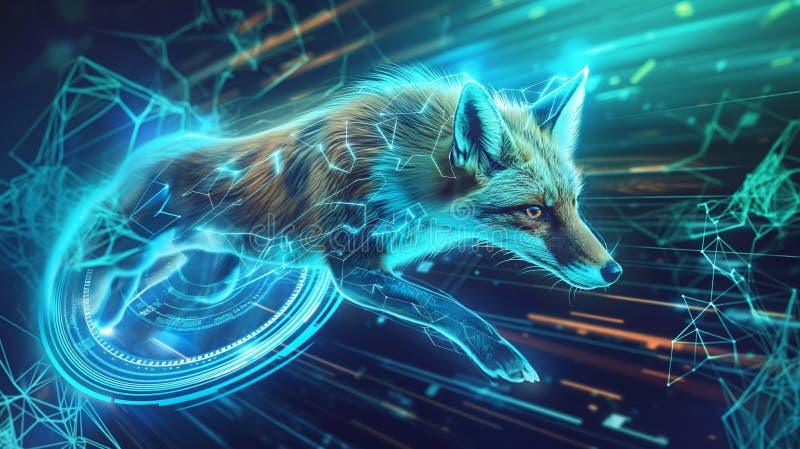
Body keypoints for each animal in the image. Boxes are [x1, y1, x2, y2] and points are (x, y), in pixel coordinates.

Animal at [90, 65, 621, 383]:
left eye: (574, 203)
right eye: (534, 211)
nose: (613, 270)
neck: (393, 167)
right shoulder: (352, 269)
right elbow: (445, 305)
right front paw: (500, 355)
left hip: (213, 264)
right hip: (134, 249)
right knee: (112, 279)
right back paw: (106, 321)